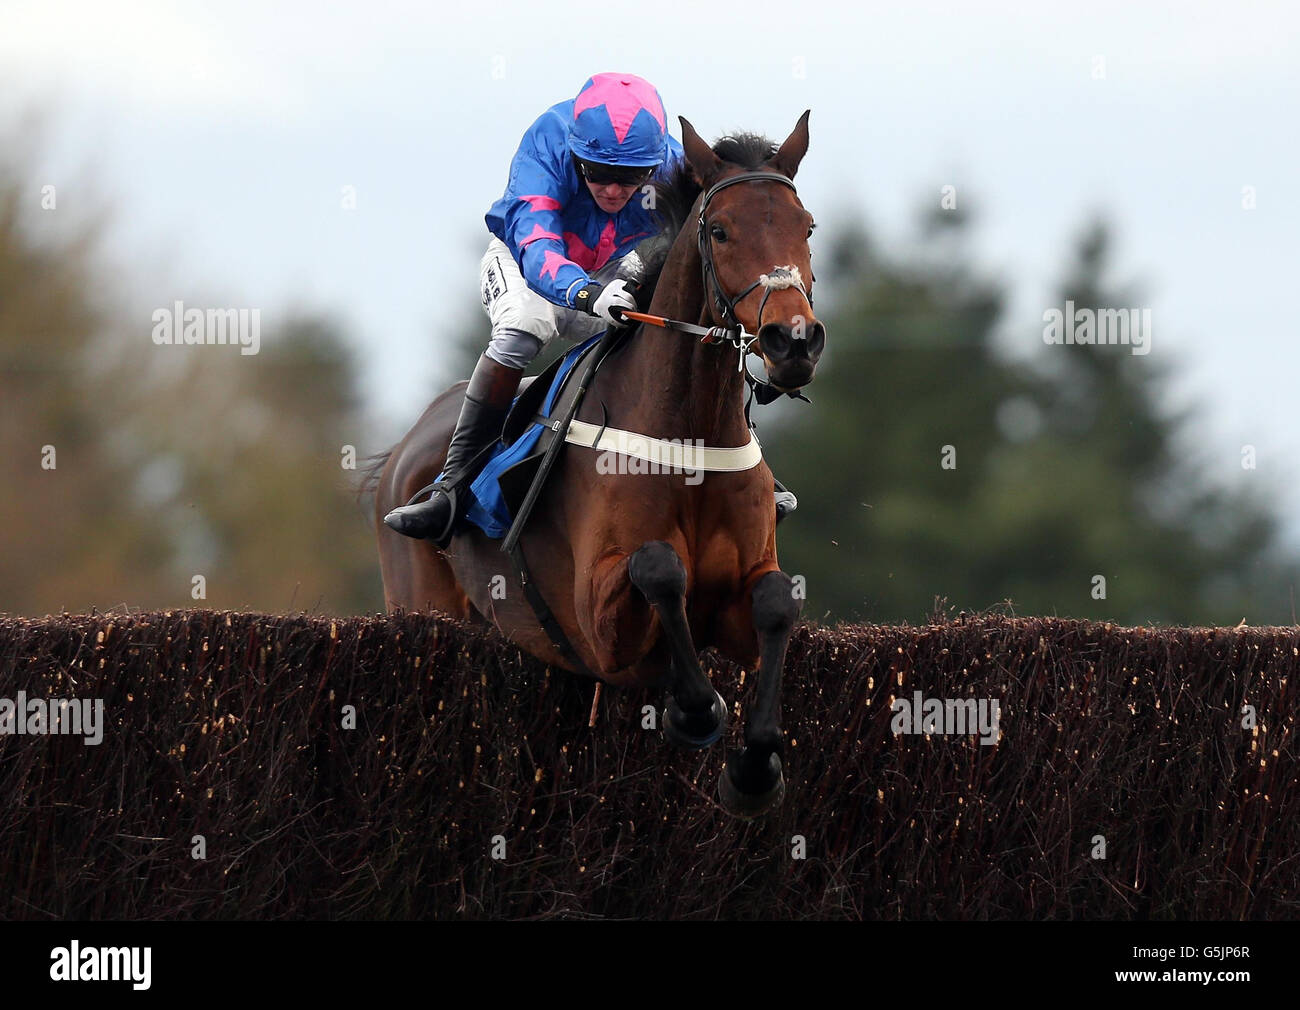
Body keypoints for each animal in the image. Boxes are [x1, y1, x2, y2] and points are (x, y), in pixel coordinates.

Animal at [362, 112, 825, 817]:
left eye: (807, 227)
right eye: (720, 230)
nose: (793, 342)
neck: (688, 437)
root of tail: (407, 446)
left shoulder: (744, 599)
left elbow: (776, 599)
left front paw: (754, 768)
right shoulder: (597, 624)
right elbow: (659, 567)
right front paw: (696, 710)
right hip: (424, 608)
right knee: (516, 334)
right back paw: (437, 501)